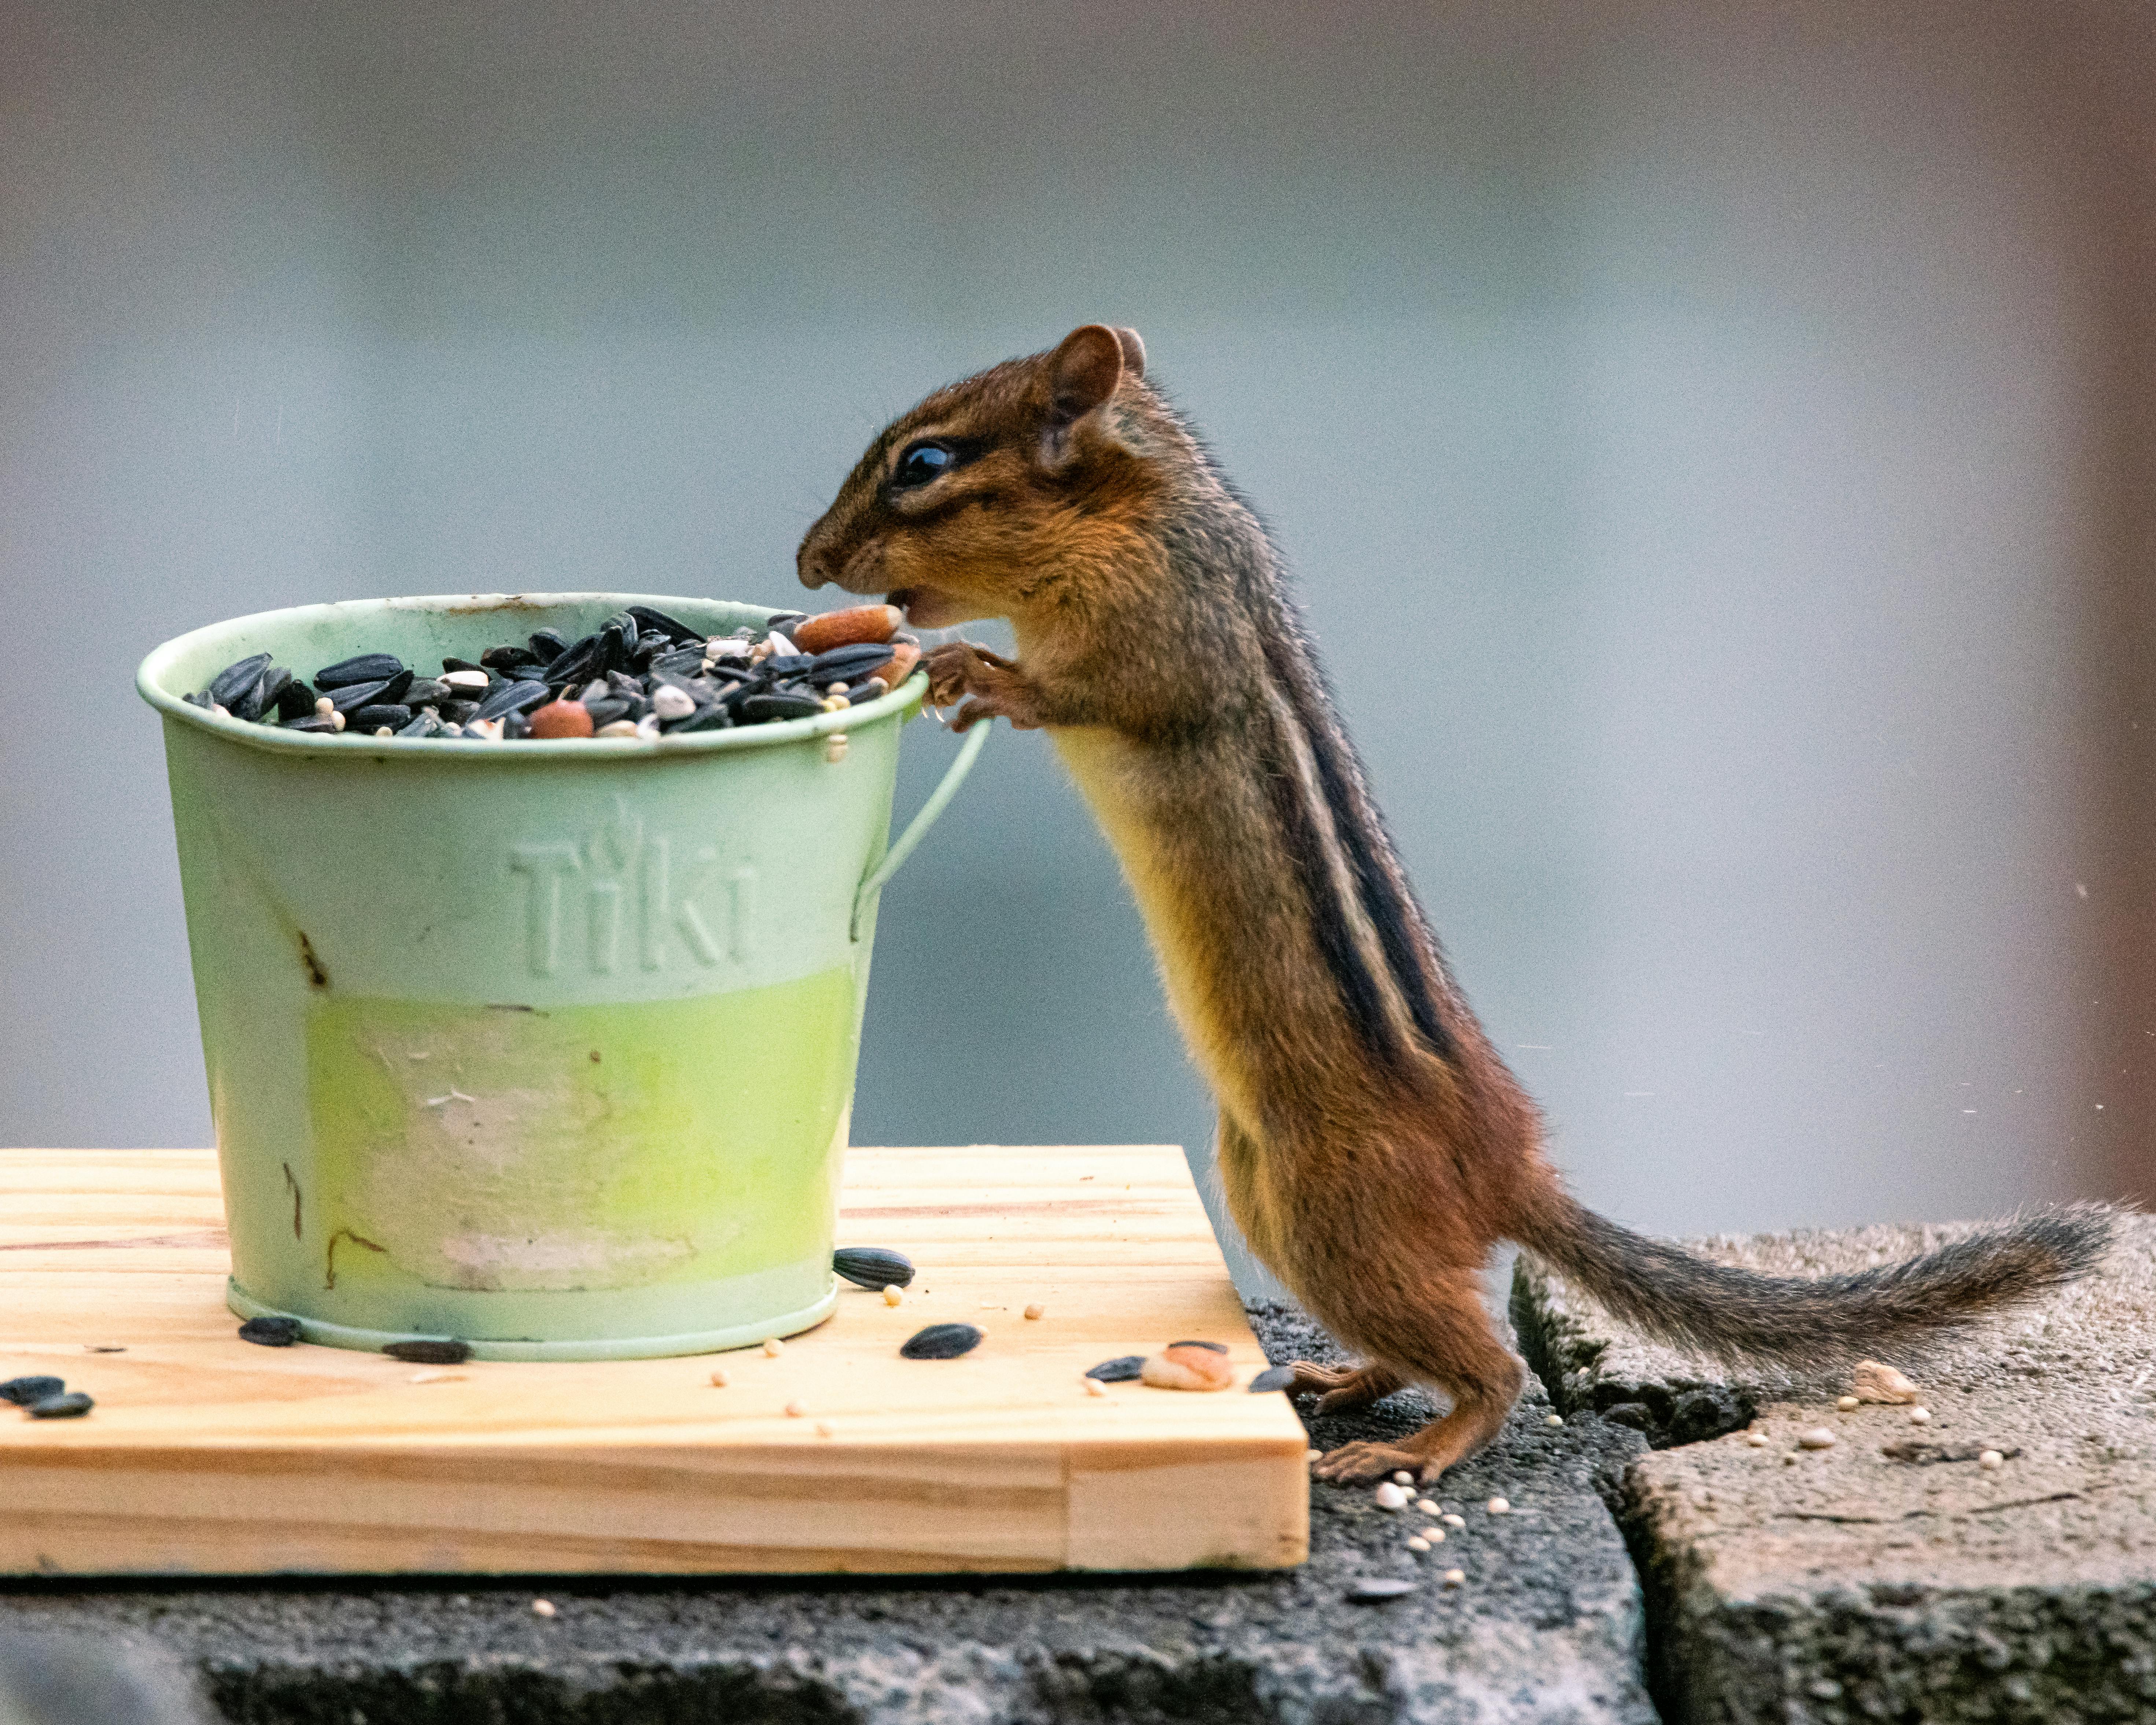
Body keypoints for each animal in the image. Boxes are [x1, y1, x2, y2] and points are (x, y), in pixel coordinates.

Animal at [797, 324, 2114, 1485]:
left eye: (924, 464)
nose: (810, 565)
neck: (1135, 510)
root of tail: (1510, 1169)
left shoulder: (1162, 628)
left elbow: (1093, 691)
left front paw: (967, 670)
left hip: (1332, 1213)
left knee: (1494, 1370)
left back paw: (1424, 1441)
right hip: (1266, 1196)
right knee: (1415, 1335)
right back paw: (1345, 1381)